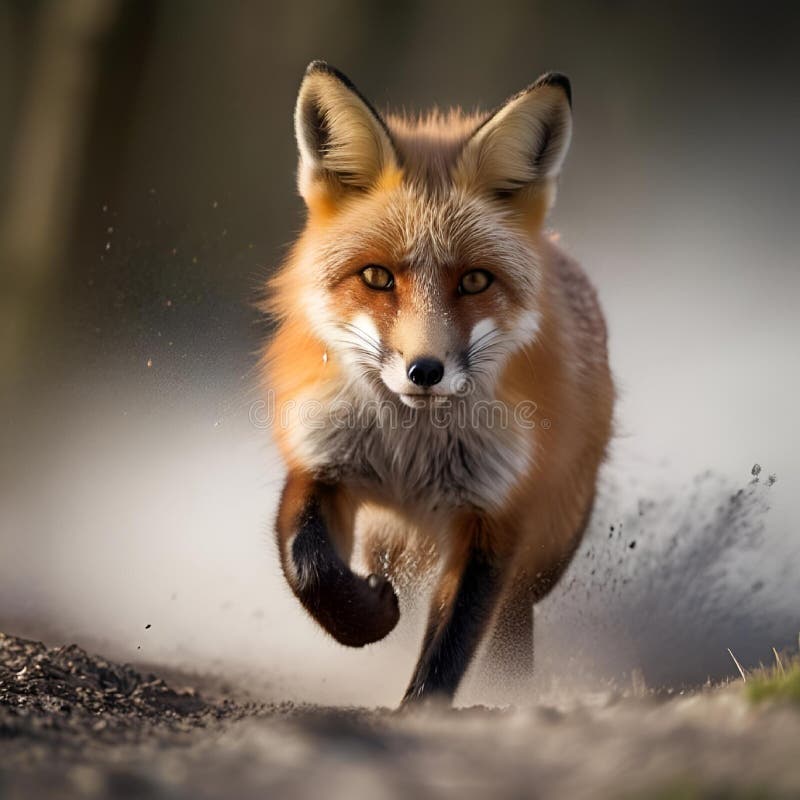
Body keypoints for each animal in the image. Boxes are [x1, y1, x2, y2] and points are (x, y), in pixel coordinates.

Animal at [261, 61, 614, 706]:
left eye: (474, 281)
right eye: (377, 277)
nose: (424, 370)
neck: (410, 454)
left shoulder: (495, 516)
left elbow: (453, 640)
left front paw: (421, 711)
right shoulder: (323, 463)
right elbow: (307, 562)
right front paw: (369, 614)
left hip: (547, 546)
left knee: (513, 614)